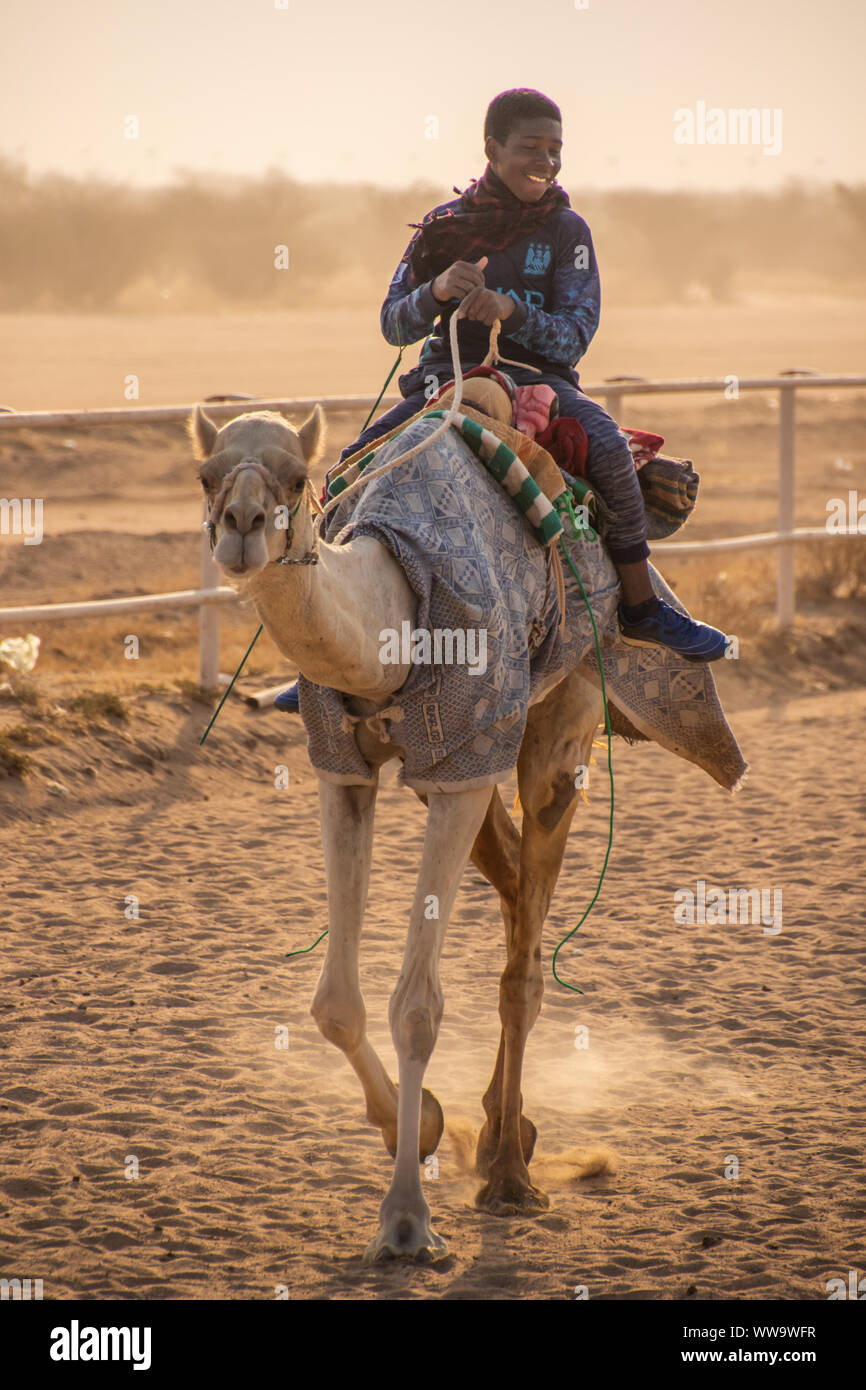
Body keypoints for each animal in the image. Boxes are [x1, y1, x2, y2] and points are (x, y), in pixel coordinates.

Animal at [189, 398, 610, 1263]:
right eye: (207, 475)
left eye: (296, 476)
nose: (242, 525)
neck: (401, 615)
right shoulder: (345, 767)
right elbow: (334, 1004)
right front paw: (417, 1131)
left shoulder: (463, 761)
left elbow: (418, 1007)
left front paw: (408, 1222)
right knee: (514, 887)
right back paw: (501, 1129)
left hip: (557, 717)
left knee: (525, 948)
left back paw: (511, 1175)